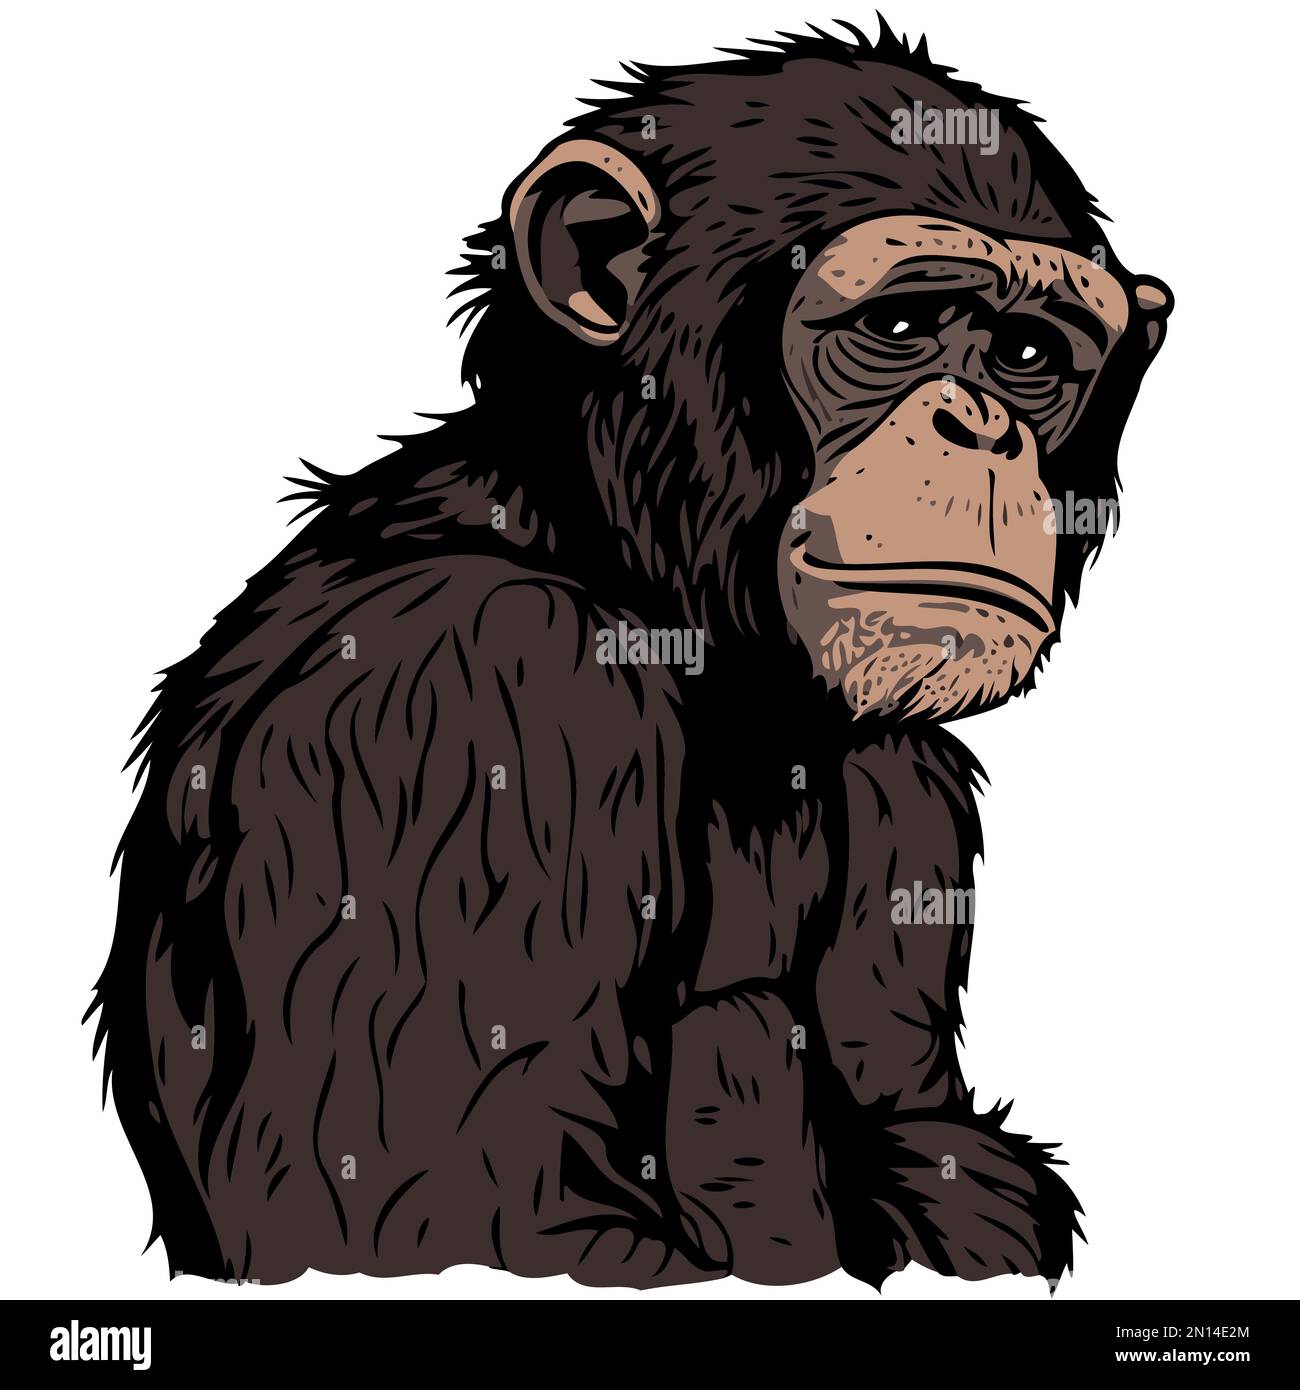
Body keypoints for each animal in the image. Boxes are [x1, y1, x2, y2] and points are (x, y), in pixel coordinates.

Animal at [89, 20, 1171, 1289]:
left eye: (1028, 355)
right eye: (901, 329)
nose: (983, 429)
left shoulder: (910, 788)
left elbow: (950, 1163)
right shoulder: (483, 693)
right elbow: (469, 1225)